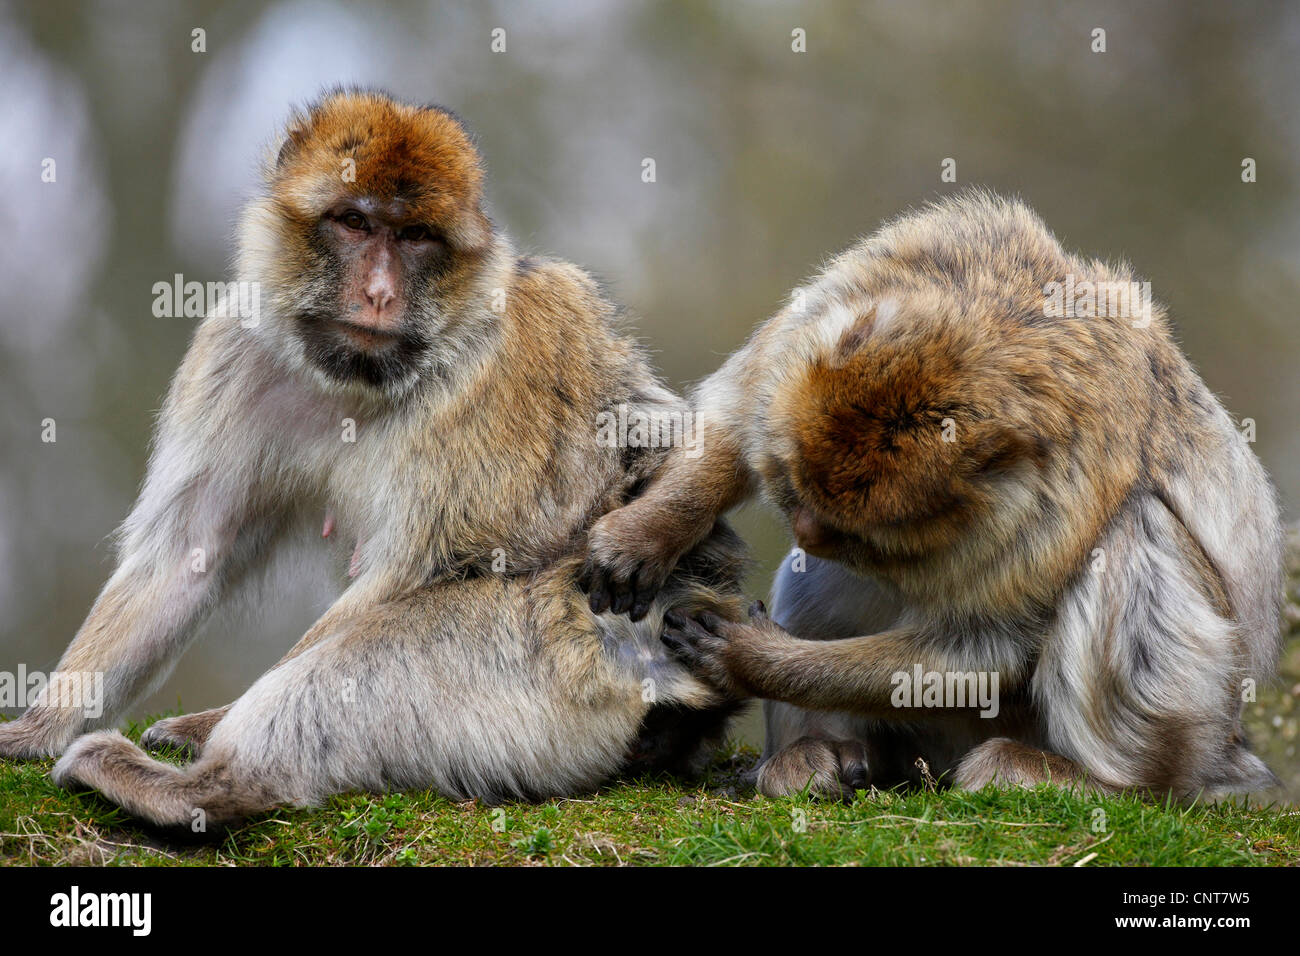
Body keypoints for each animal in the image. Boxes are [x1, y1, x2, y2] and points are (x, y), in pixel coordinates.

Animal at [0, 89, 750, 827]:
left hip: (553, 639)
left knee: (345, 673)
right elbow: (187, 553)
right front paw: (38, 728)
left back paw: (200, 788)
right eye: (355, 223)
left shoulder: (485, 382)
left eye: (415, 236)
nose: (381, 293)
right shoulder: (235, 348)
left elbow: (407, 571)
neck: (366, 379)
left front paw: (199, 727)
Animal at [582, 190, 1284, 801]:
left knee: (1133, 533)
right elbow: (737, 412)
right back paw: (820, 756)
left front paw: (755, 660)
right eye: (796, 493)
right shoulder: (854, 288)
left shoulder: (1059, 502)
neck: (998, 327)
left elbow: (985, 643)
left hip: (1187, 736)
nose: (807, 530)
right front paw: (647, 534)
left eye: (847, 528)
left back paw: (1103, 782)